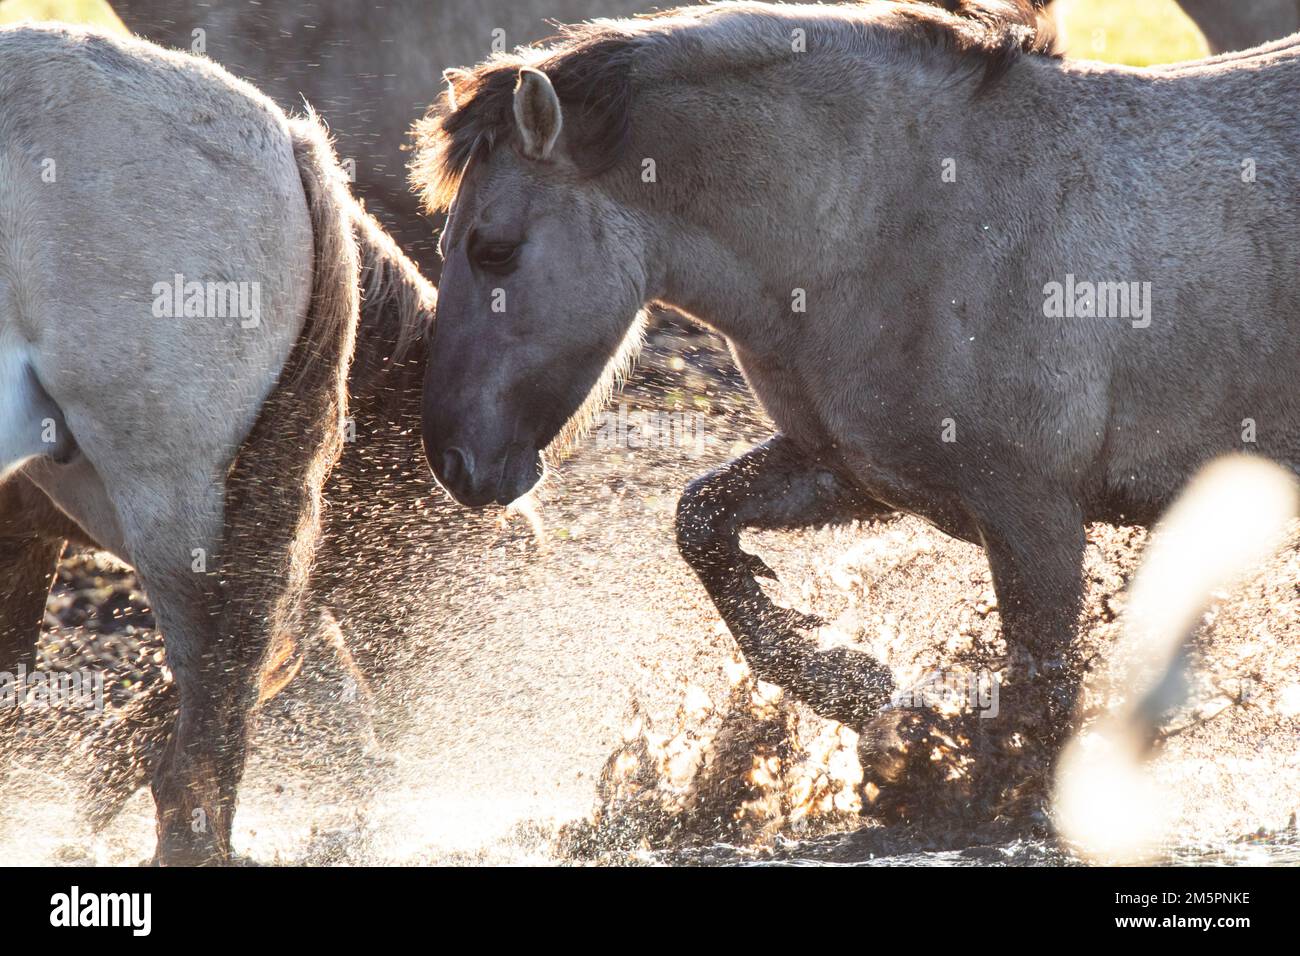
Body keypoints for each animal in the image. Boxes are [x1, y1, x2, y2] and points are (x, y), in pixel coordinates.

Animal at [414, 0, 1300, 803]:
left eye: (495, 250)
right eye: (448, 243)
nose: (453, 460)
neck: (895, 220)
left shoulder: (1034, 517)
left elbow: (1040, 706)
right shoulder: (854, 473)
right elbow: (701, 522)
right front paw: (866, 690)